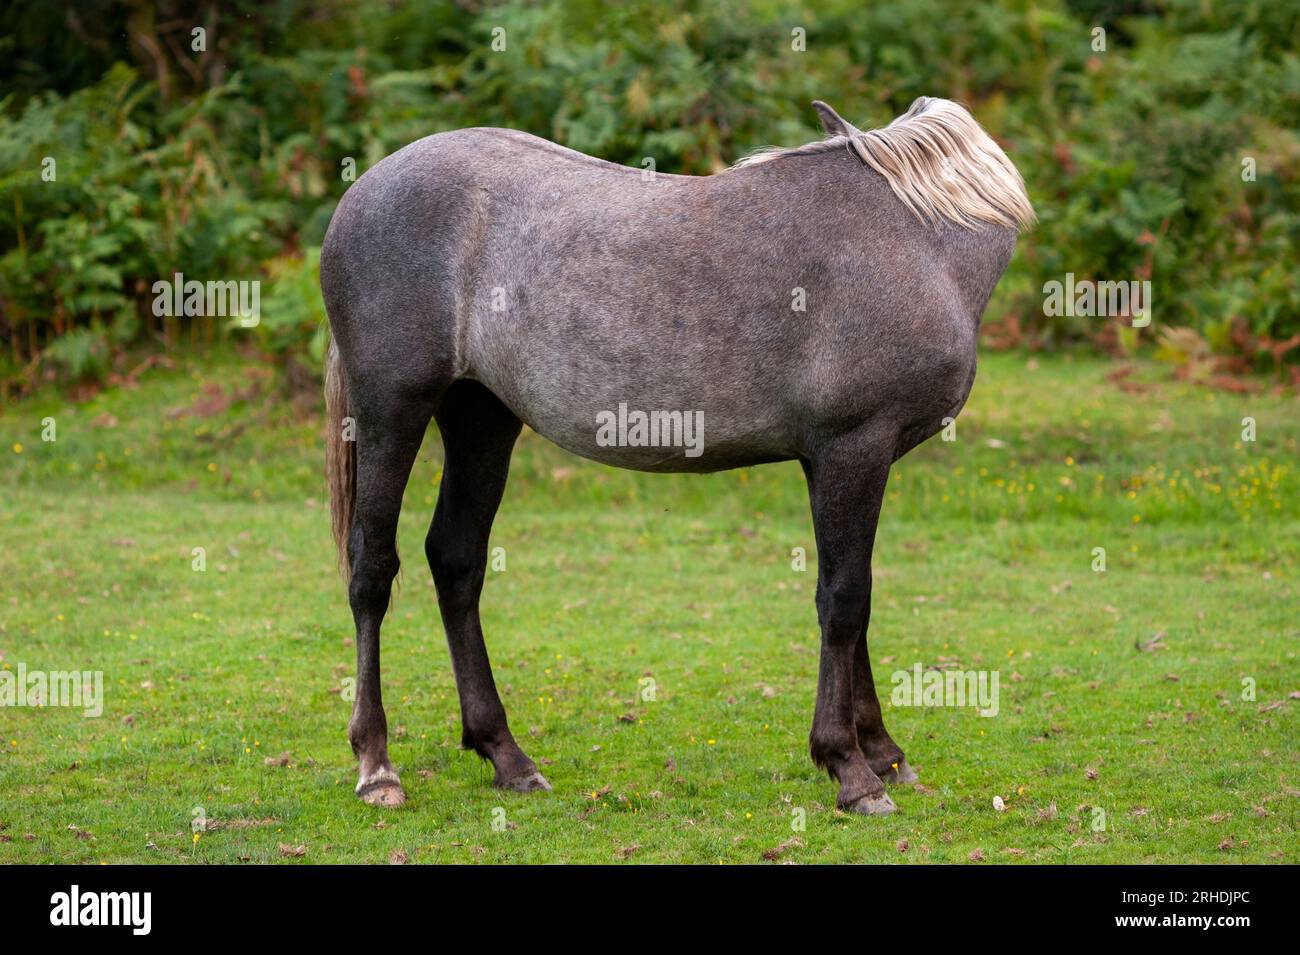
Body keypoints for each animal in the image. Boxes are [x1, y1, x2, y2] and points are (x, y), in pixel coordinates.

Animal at [321, 96, 1033, 814]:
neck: (919, 238)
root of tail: (362, 191)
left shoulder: (834, 459)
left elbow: (850, 601)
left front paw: (882, 752)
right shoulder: (855, 446)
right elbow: (844, 600)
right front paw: (851, 768)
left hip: (481, 419)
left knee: (457, 561)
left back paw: (507, 756)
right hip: (392, 413)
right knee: (372, 570)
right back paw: (377, 765)